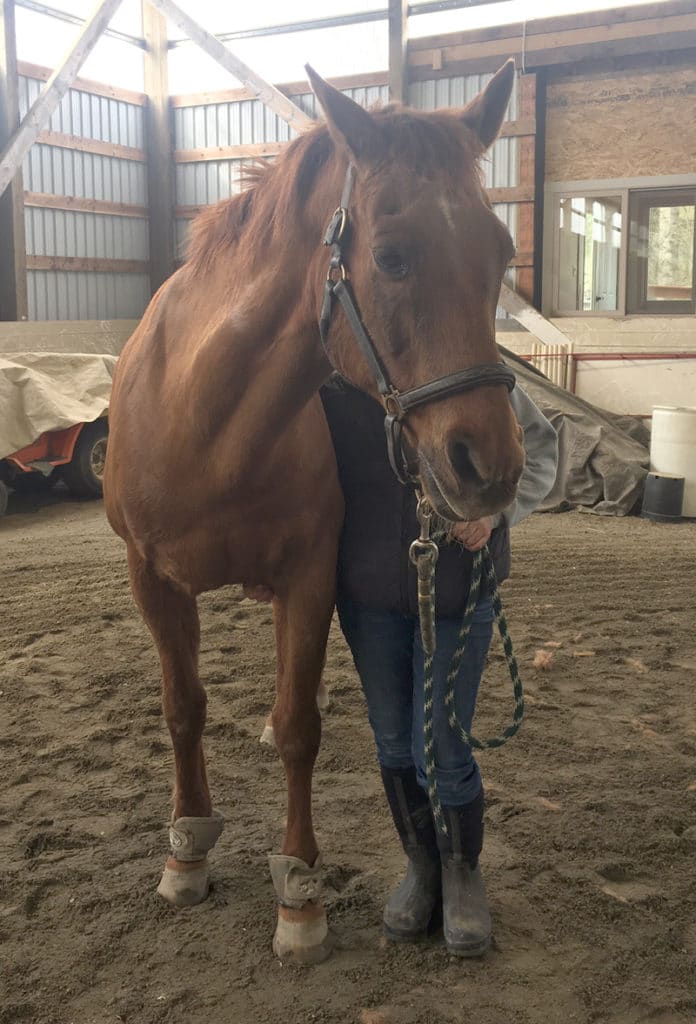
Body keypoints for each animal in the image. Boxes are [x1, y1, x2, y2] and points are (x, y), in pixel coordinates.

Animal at [103, 61, 525, 965]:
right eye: (391, 256)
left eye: (502, 253)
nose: (491, 468)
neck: (205, 420)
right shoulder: (152, 581)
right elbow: (182, 708)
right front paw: (186, 851)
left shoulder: (308, 579)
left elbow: (301, 726)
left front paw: (298, 894)